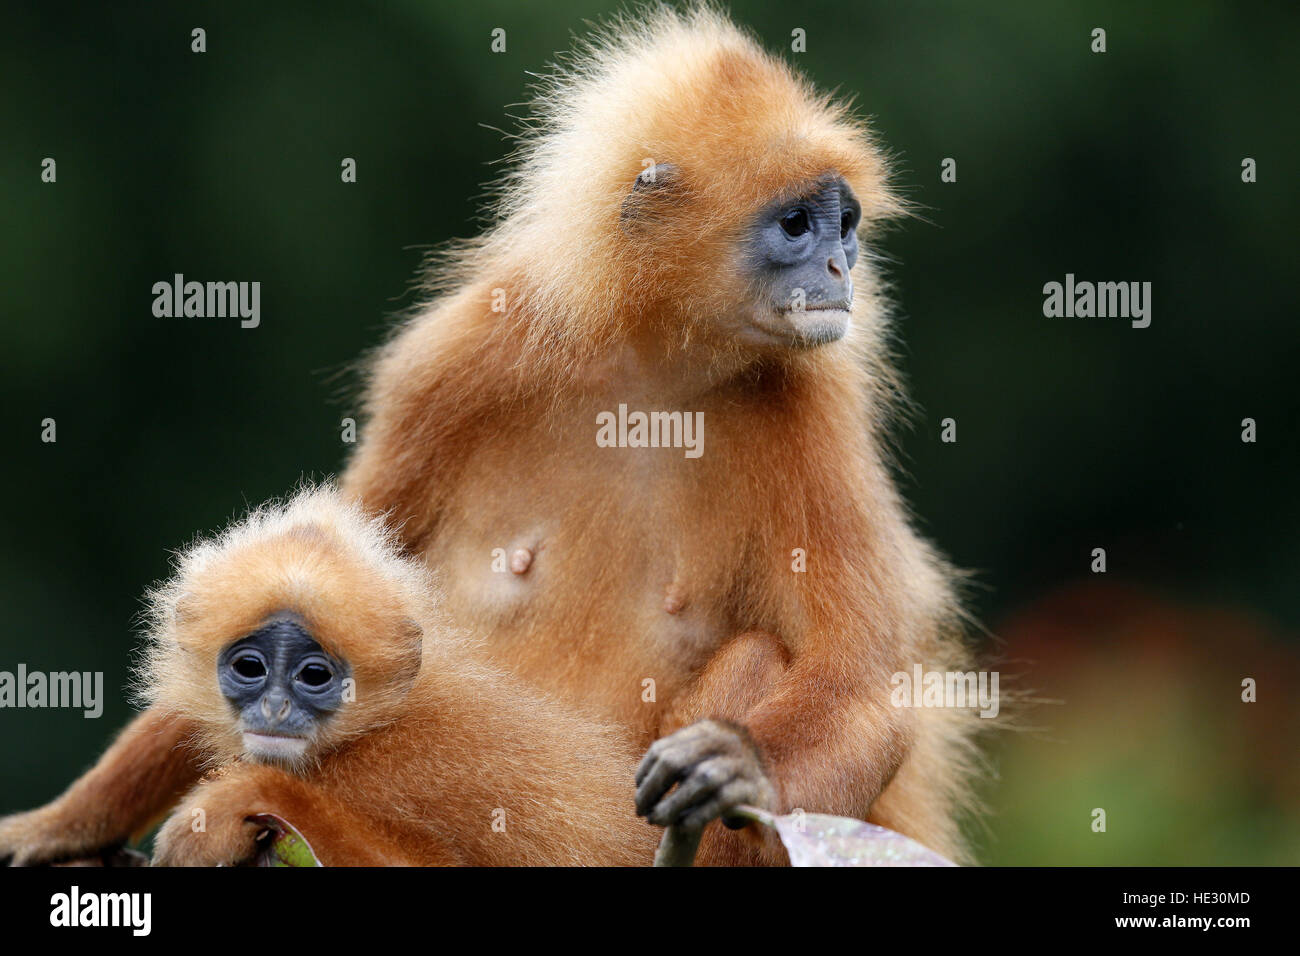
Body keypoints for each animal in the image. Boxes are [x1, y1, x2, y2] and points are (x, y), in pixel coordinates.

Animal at [1, 5, 986, 867]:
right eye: (796, 224)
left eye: (845, 224)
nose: (841, 268)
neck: (653, 378)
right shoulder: (458, 363)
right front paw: (65, 820)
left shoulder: (814, 403)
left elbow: (862, 685)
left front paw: (738, 765)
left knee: (762, 658)